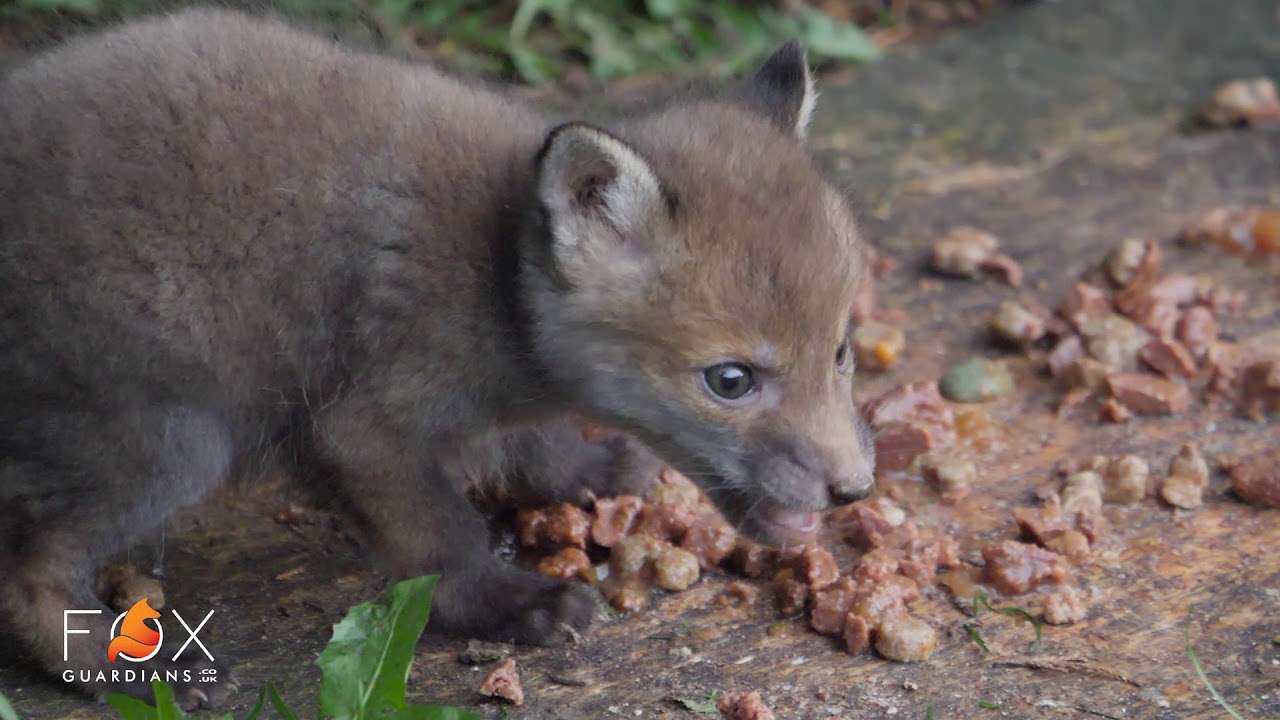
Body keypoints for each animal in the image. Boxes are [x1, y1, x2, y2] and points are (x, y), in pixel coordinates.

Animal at [0, 8, 876, 709]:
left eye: (839, 352)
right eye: (730, 381)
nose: (854, 488)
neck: (500, 279)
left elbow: (534, 445)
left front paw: (596, 473)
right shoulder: (361, 431)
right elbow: (440, 539)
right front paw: (511, 604)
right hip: (171, 444)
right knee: (30, 568)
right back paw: (123, 669)